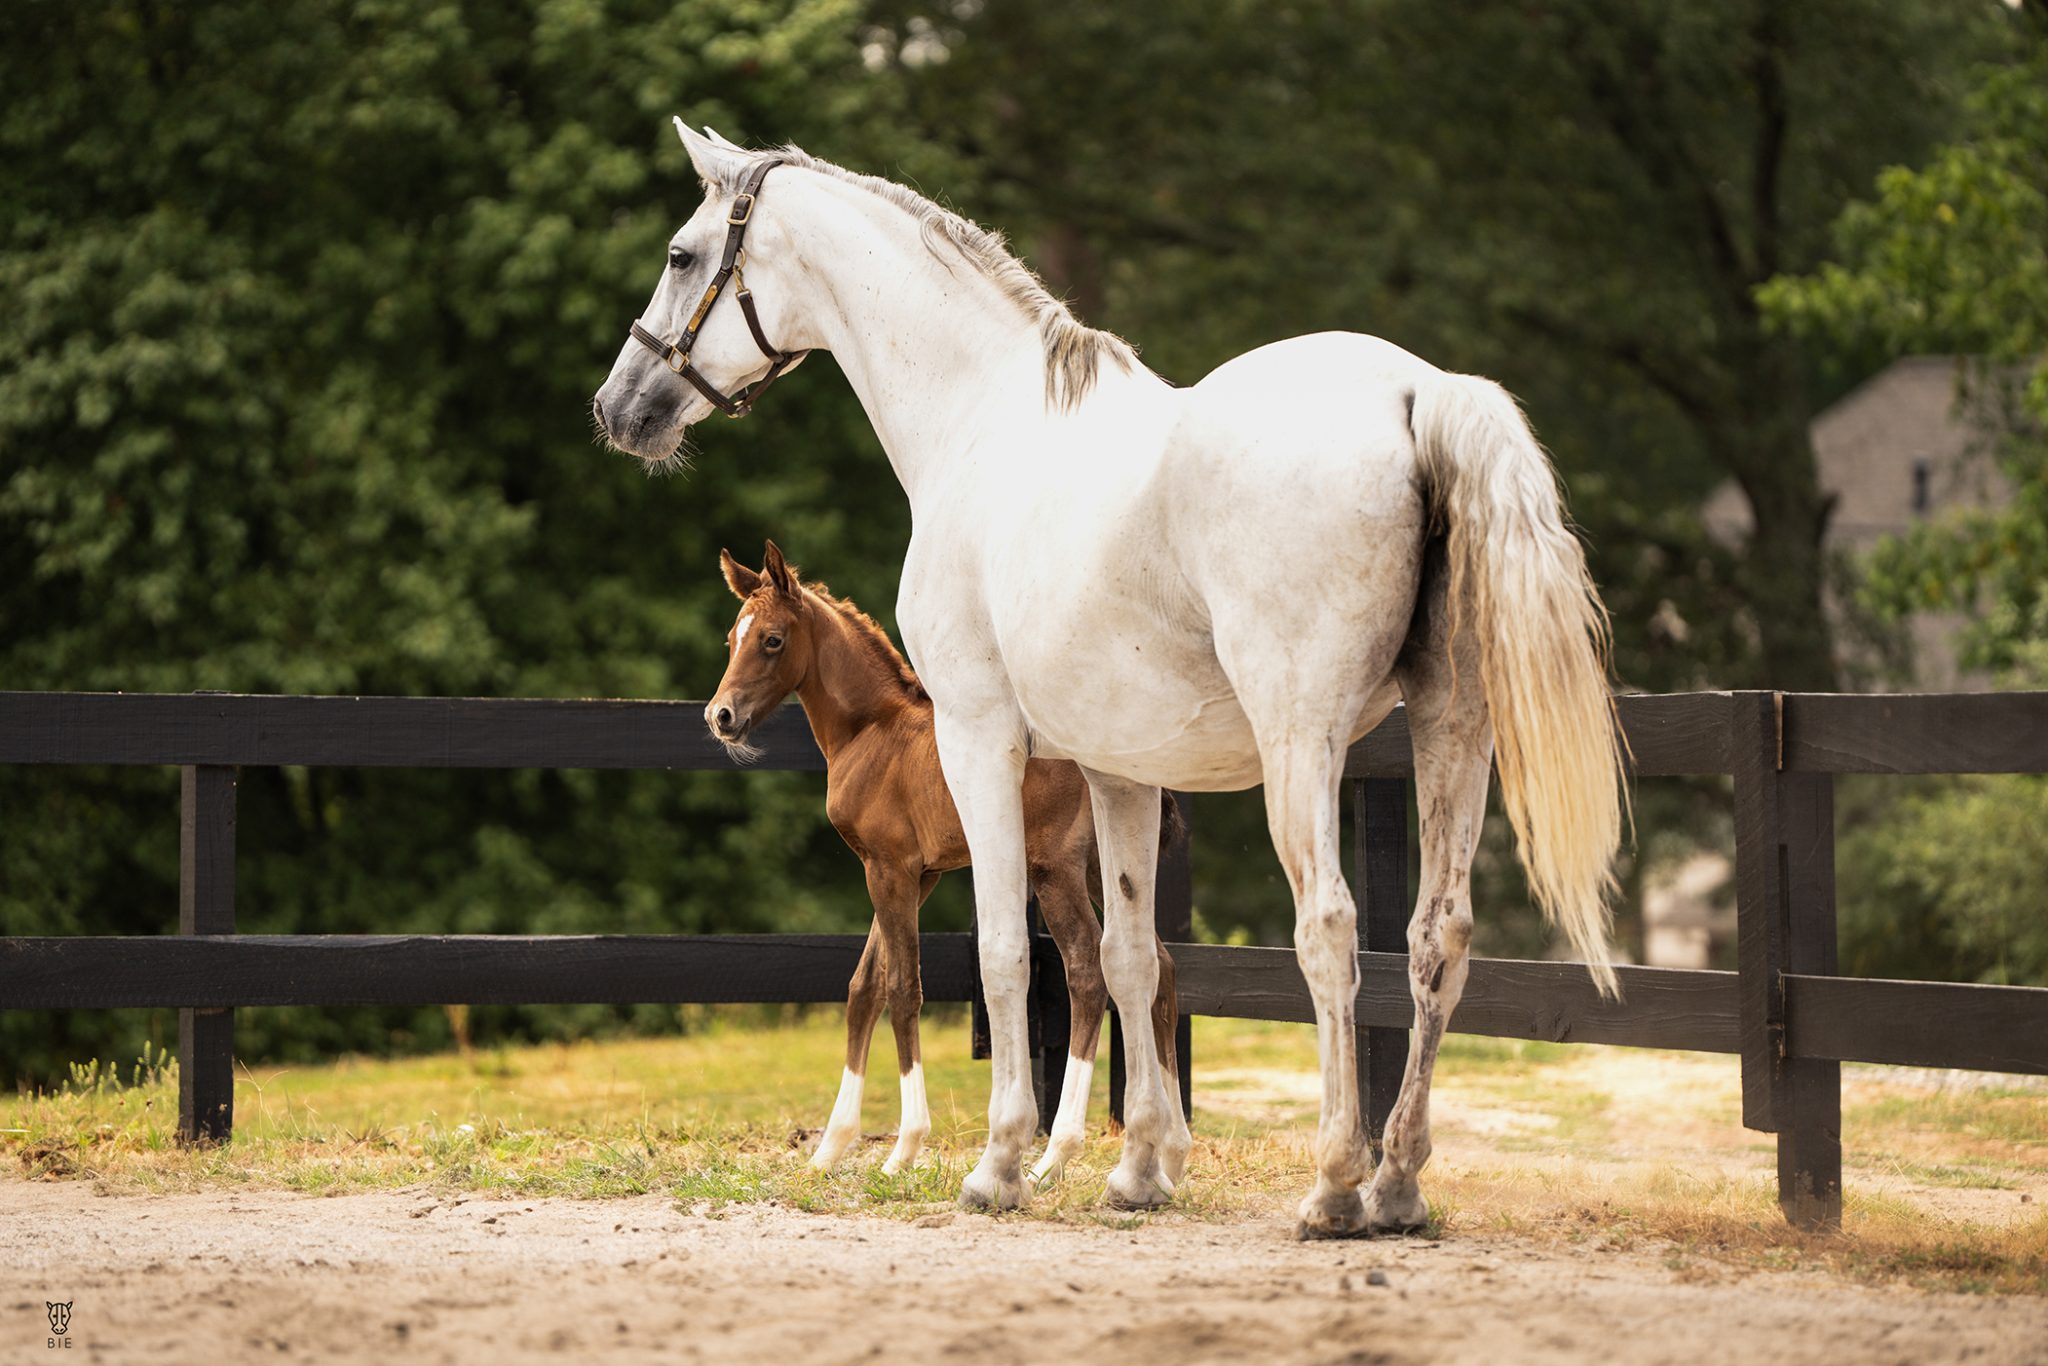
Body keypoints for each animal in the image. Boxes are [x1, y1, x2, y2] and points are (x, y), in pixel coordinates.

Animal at [705, 540, 1182, 1183]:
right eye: (733, 637)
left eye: (773, 639)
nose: (721, 717)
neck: (872, 732)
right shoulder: (917, 872)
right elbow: (864, 986)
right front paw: (830, 1148)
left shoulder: (890, 869)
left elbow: (903, 987)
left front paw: (904, 1148)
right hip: (1101, 871)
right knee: (1157, 967)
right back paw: (1172, 1152)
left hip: (1055, 871)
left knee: (1087, 971)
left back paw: (1055, 1154)